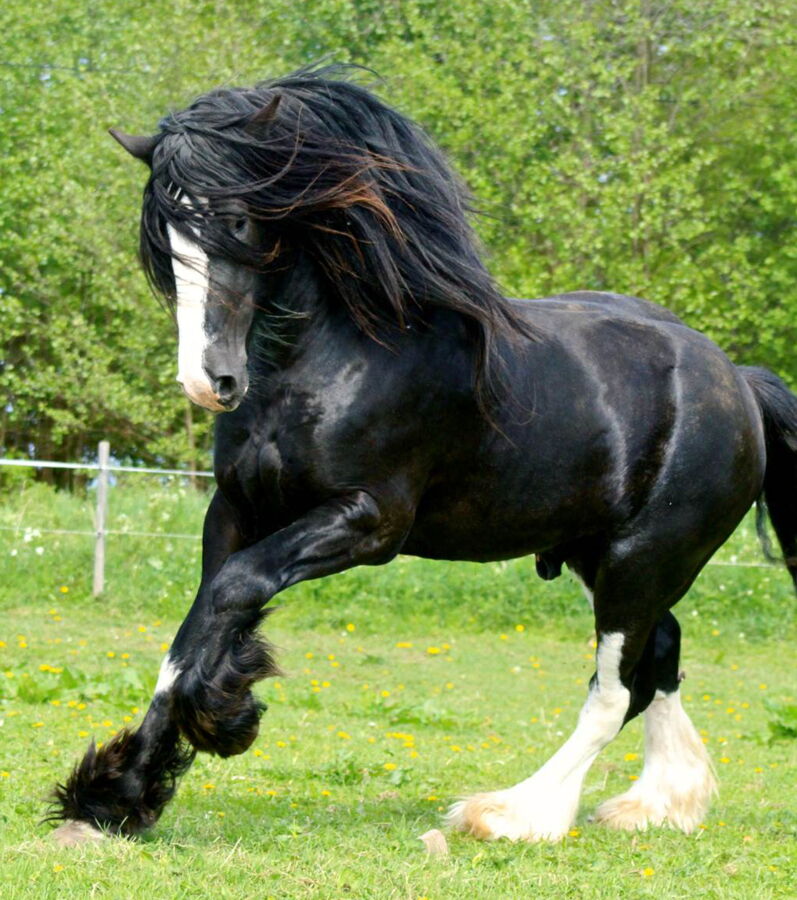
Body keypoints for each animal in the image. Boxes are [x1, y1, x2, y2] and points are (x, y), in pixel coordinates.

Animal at [49, 65, 797, 847]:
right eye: (166, 236)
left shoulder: (369, 520)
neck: (327, 360)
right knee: (661, 655)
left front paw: (218, 720)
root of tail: (737, 381)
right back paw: (657, 803)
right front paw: (116, 794)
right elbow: (194, 631)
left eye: (238, 221)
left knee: (615, 689)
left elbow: (231, 594)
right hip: (602, 556)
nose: (210, 381)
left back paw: (510, 813)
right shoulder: (236, 509)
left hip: (643, 559)